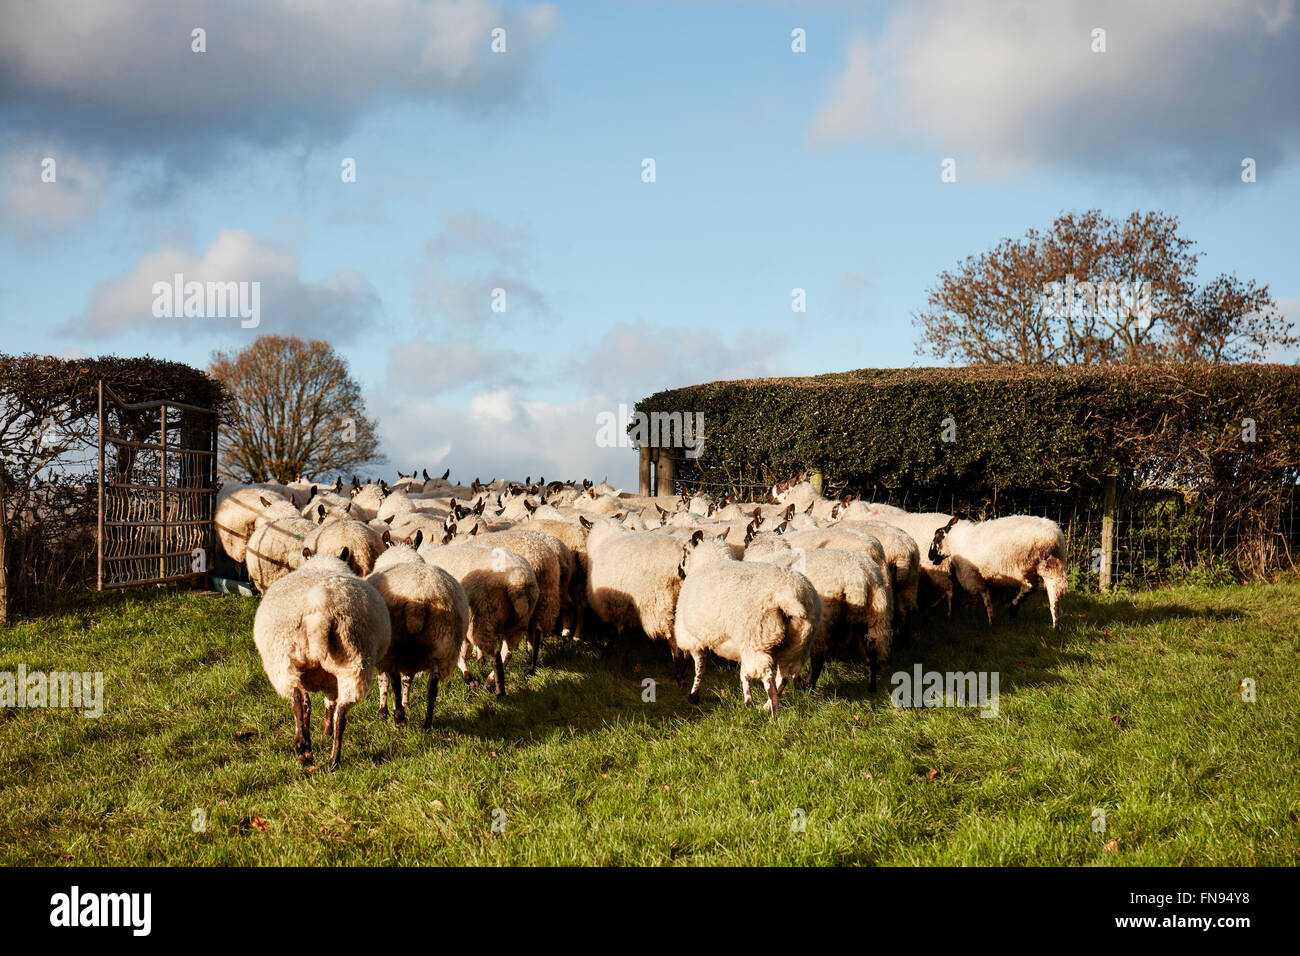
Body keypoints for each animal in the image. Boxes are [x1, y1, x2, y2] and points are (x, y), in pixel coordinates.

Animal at [252, 547, 391, 770]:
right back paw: (329, 759)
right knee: (338, 711)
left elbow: (318, 704)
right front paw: (325, 733)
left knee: (300, 701)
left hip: (285, 661)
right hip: (351, 662)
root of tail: (320, 607)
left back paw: (307, 752)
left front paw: (320, 736)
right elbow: (326, 703)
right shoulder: (329, 678)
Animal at [366, 532, 470, 728]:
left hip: (394, 645)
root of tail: (419, 599)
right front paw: (405, 705)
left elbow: (384, 681)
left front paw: (384, 711)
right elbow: (408, 679)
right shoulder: (412, 656)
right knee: (433, 686)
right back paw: (427, 722)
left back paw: (399, 718)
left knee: (394, 680)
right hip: (442, 644)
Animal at [419, 540, 539, 696]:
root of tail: (517, 579)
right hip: (518, 620)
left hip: (484, 617)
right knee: (508, 651)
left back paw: (497, 690)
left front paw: (470, 678)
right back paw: (493, 680)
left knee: (495, 655)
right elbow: (462, 651)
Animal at [674, 552, 823, 719]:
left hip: (757, 639)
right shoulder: (741, 647)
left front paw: (693, 695)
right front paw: (748, 701)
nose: (679, 571)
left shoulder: (692, 640)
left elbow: (699, 667)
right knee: (782, 677)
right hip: (796, 644)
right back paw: (765, 706)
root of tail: (791, 595)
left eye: (684, 551)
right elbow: (744, 674)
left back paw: (774, 715)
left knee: (768, 679)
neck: (706, 561)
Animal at [930, 515, 1068, 627]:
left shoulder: (973, 576)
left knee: (1027, 586)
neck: (956, 542)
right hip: (1050, 567)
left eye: (937, 535)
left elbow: (985, 599)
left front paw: (991, 620)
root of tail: (1050, 537)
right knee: (1054, 597)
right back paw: (1055, 625)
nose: (930, 556)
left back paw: (1013, 607)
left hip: (1015, 567)